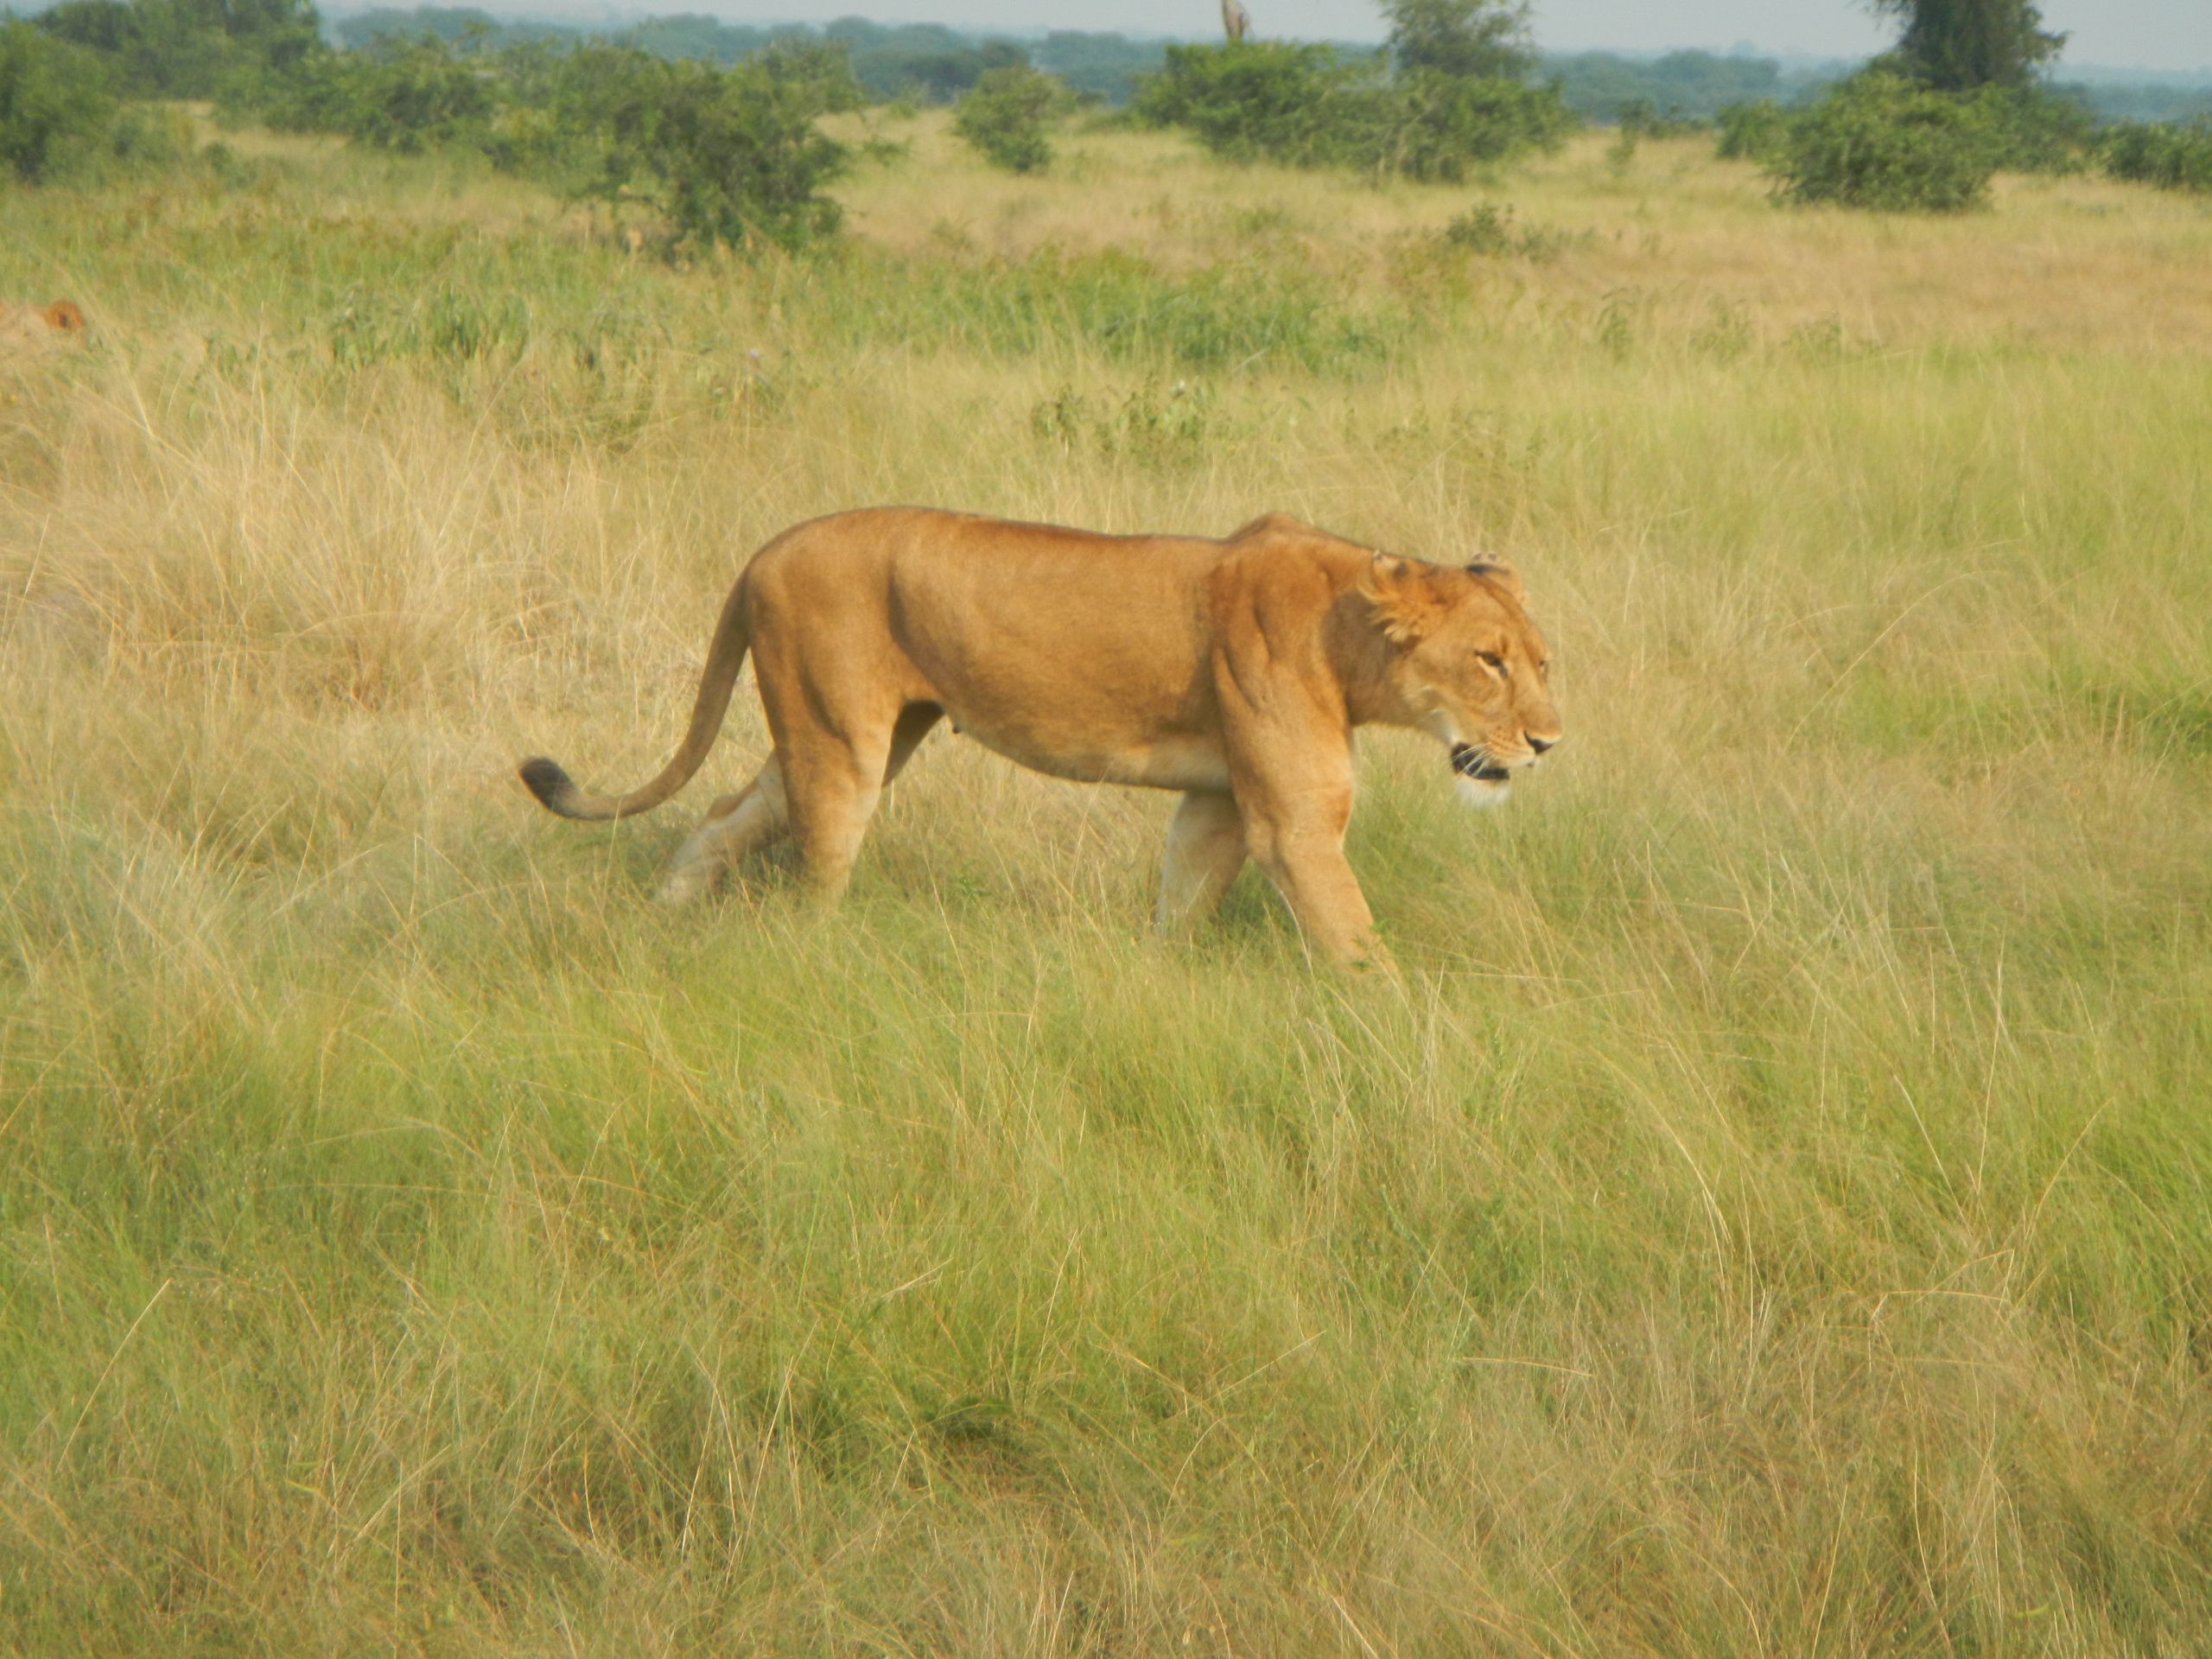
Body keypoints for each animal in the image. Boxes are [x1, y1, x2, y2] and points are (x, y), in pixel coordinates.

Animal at [520, 508, 1561, 965]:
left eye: (1543, 661)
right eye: (1489, 661)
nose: (1548, 746)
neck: (1349, 637)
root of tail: (761, 552)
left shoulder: (1218, 803)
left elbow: (1182, 900)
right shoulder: (1294, 825)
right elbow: (1354, 941)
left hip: (844, 738)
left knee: (722, 814)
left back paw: (662, 919)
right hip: (840, 746)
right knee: (812, 876)